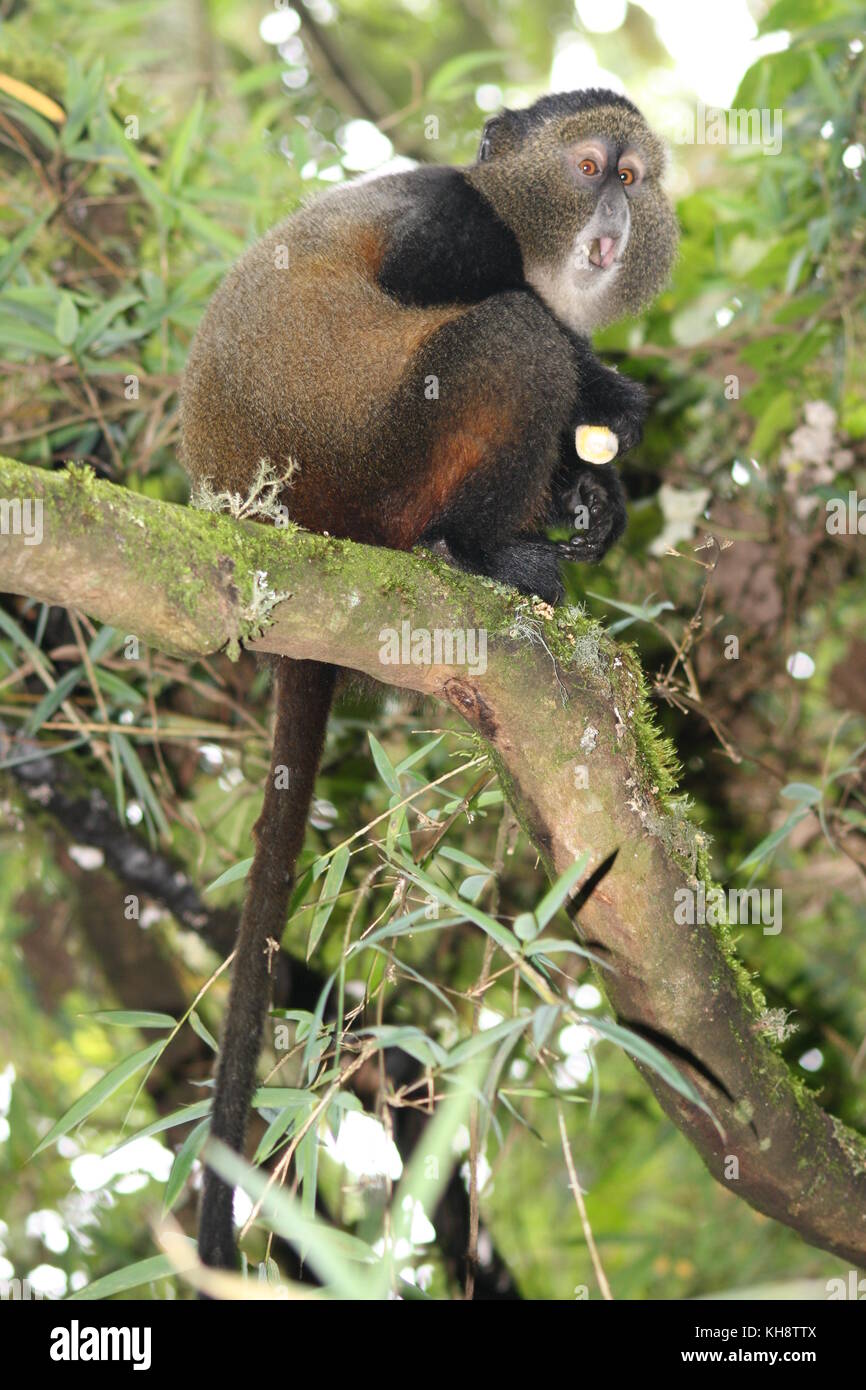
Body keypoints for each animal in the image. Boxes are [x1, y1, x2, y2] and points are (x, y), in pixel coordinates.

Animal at [179, 87, 677, 1272]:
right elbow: (495, 307)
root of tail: (271, 524)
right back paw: (481, 547)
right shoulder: (455, 218)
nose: (611, 218)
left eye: (633, 178)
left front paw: (597, 497)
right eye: (586, 166)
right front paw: (602, 394)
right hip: (377, 454)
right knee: (511, 341)